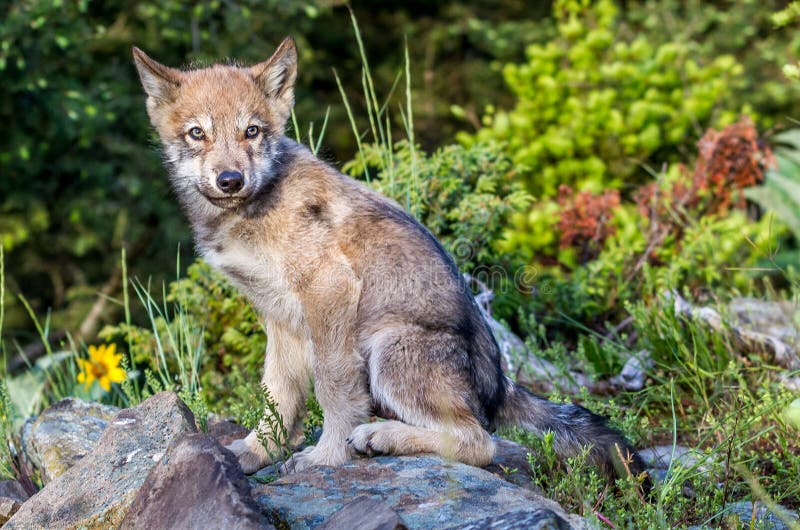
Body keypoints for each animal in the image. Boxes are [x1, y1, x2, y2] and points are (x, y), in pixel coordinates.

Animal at [132, 37, 649, 486]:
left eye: (252, 131)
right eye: (198, 134)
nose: (230, 180)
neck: (250, 212)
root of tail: (500, 382)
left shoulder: (329, 292)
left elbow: (334, 390)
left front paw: (326, 457)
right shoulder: (279, 320)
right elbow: (277, 398)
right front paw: (256, 452)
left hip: (388, 353)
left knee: (480, 442)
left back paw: (378, 437)